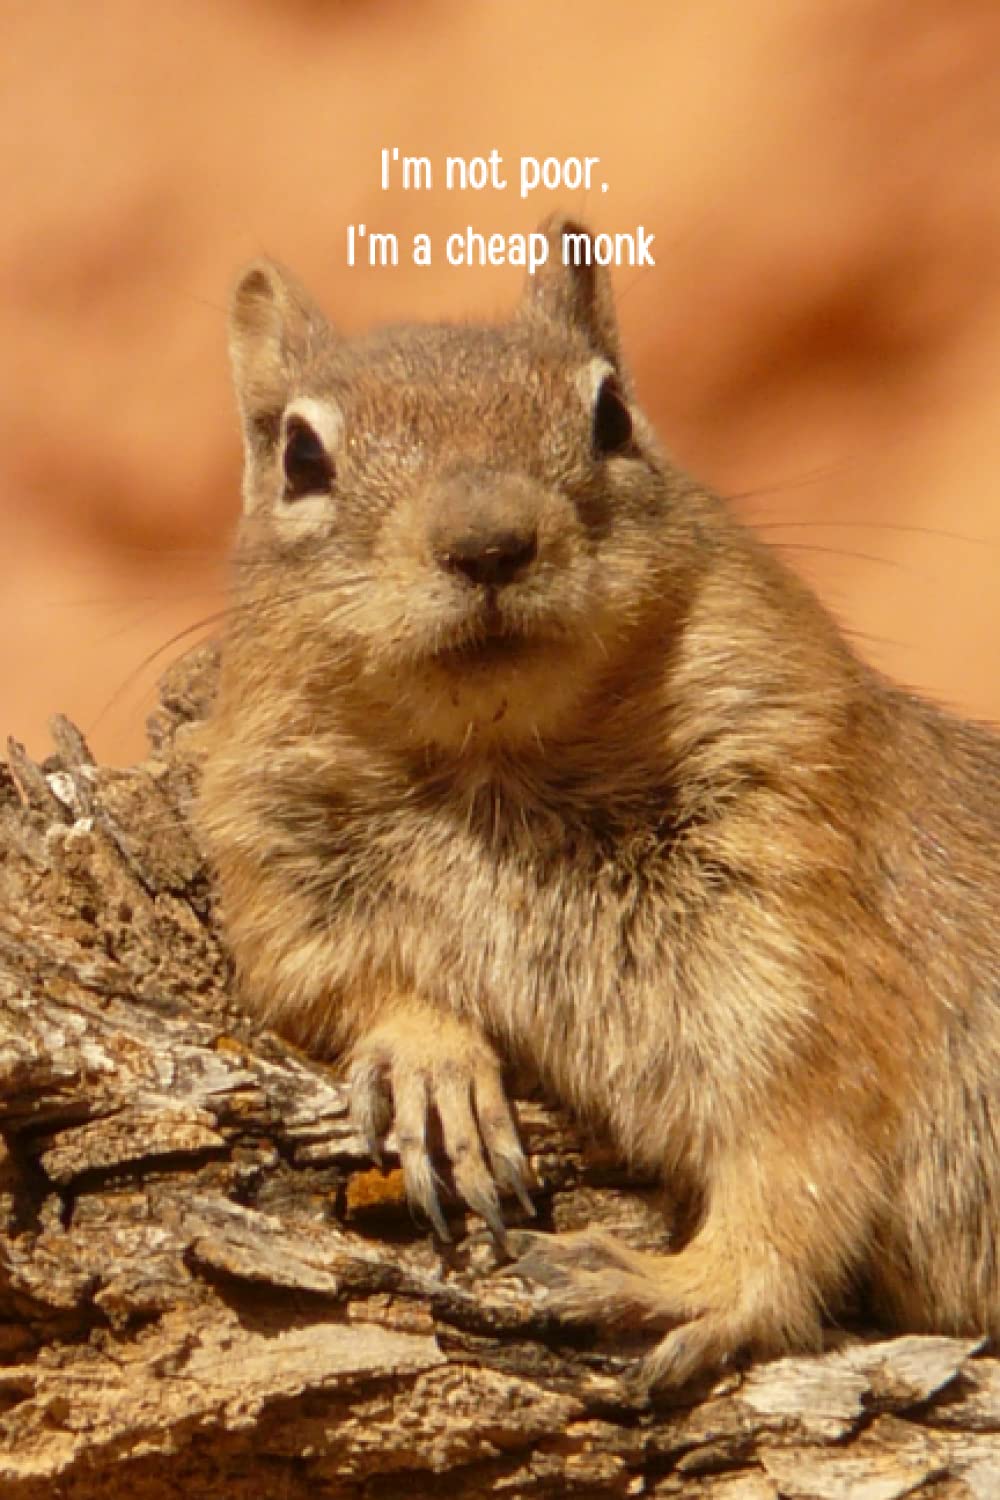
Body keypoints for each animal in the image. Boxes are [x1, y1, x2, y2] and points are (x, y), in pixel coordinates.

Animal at [197, 214, 1000, 1389]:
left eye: (612, 413)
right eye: (300, 455)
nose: (488, 543)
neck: (497, 769)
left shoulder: (803, 944)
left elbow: (799, 1162)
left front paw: (682, 1284)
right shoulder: (279, 876)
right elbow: (341, 986)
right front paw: (434, 1065)